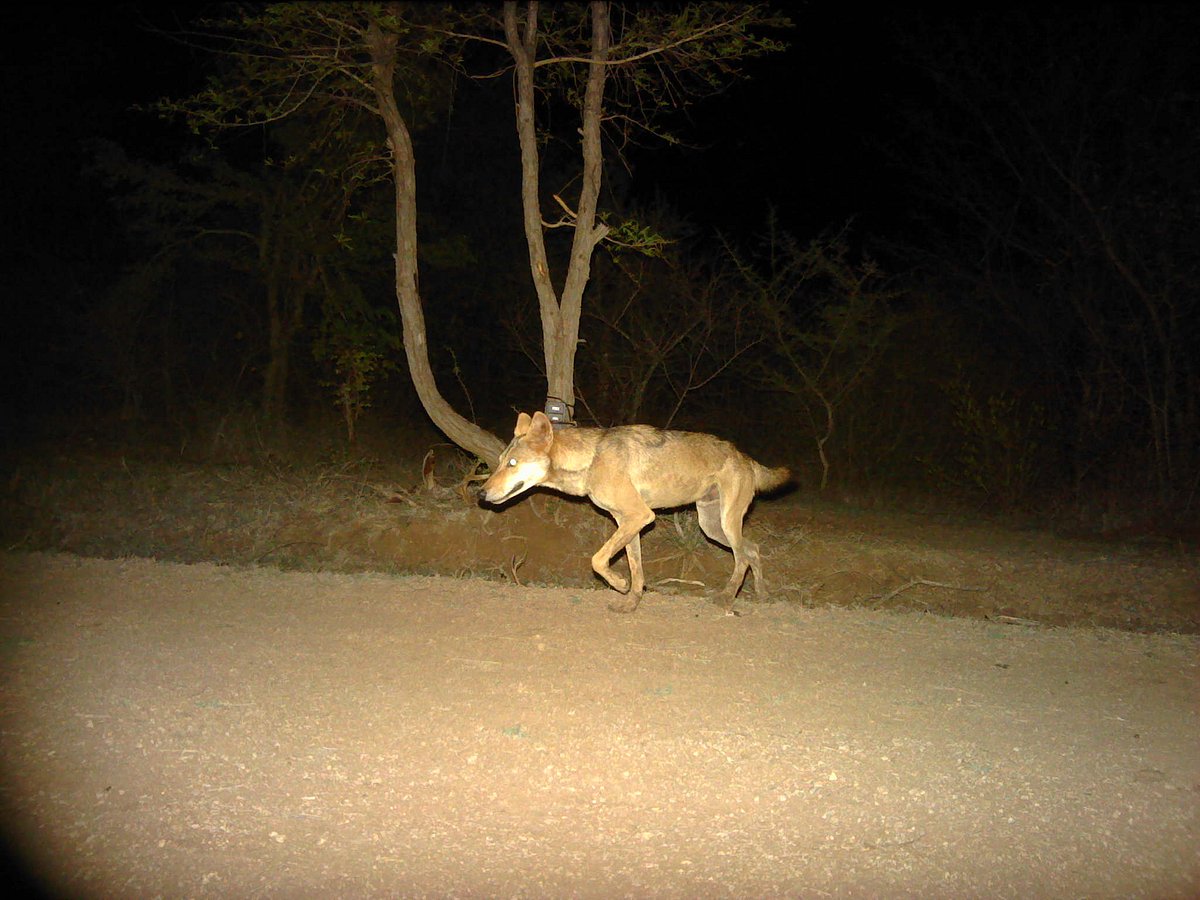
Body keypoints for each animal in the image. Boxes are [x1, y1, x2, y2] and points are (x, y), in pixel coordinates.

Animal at [479, 411, 790, 613]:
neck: (592, 459)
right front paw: (631, 602)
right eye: (500, 461)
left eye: (512, 463)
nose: (480, 493)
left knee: (743, 558)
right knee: (753, 549)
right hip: (712, 526)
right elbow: (636, 568)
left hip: (724, 524)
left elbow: (598, 560)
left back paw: (727, 598)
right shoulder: (627, 521)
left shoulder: (639, 517)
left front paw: (619, 584)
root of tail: (747, 459)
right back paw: (762, 594)